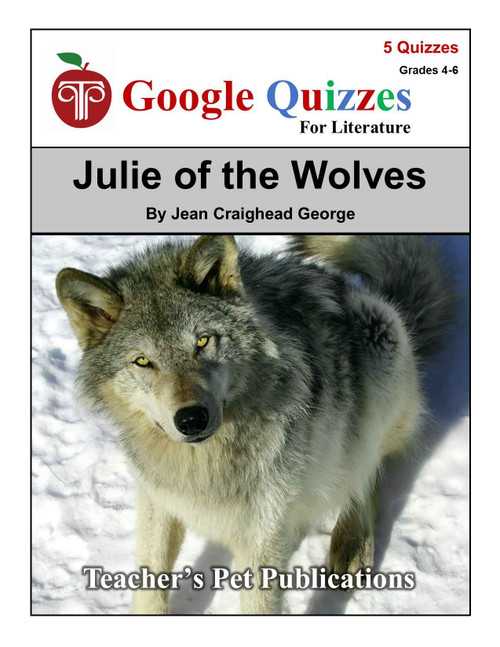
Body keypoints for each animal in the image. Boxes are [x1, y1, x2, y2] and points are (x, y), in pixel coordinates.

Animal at [55, 234, 453, 614]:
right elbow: (149, 582)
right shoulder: (158, 499)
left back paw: (352, 544)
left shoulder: (263, 531)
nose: (191, 419)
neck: (205, 467)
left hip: (378, 338)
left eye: (203, 341)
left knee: (366, 469)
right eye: (142, 361)